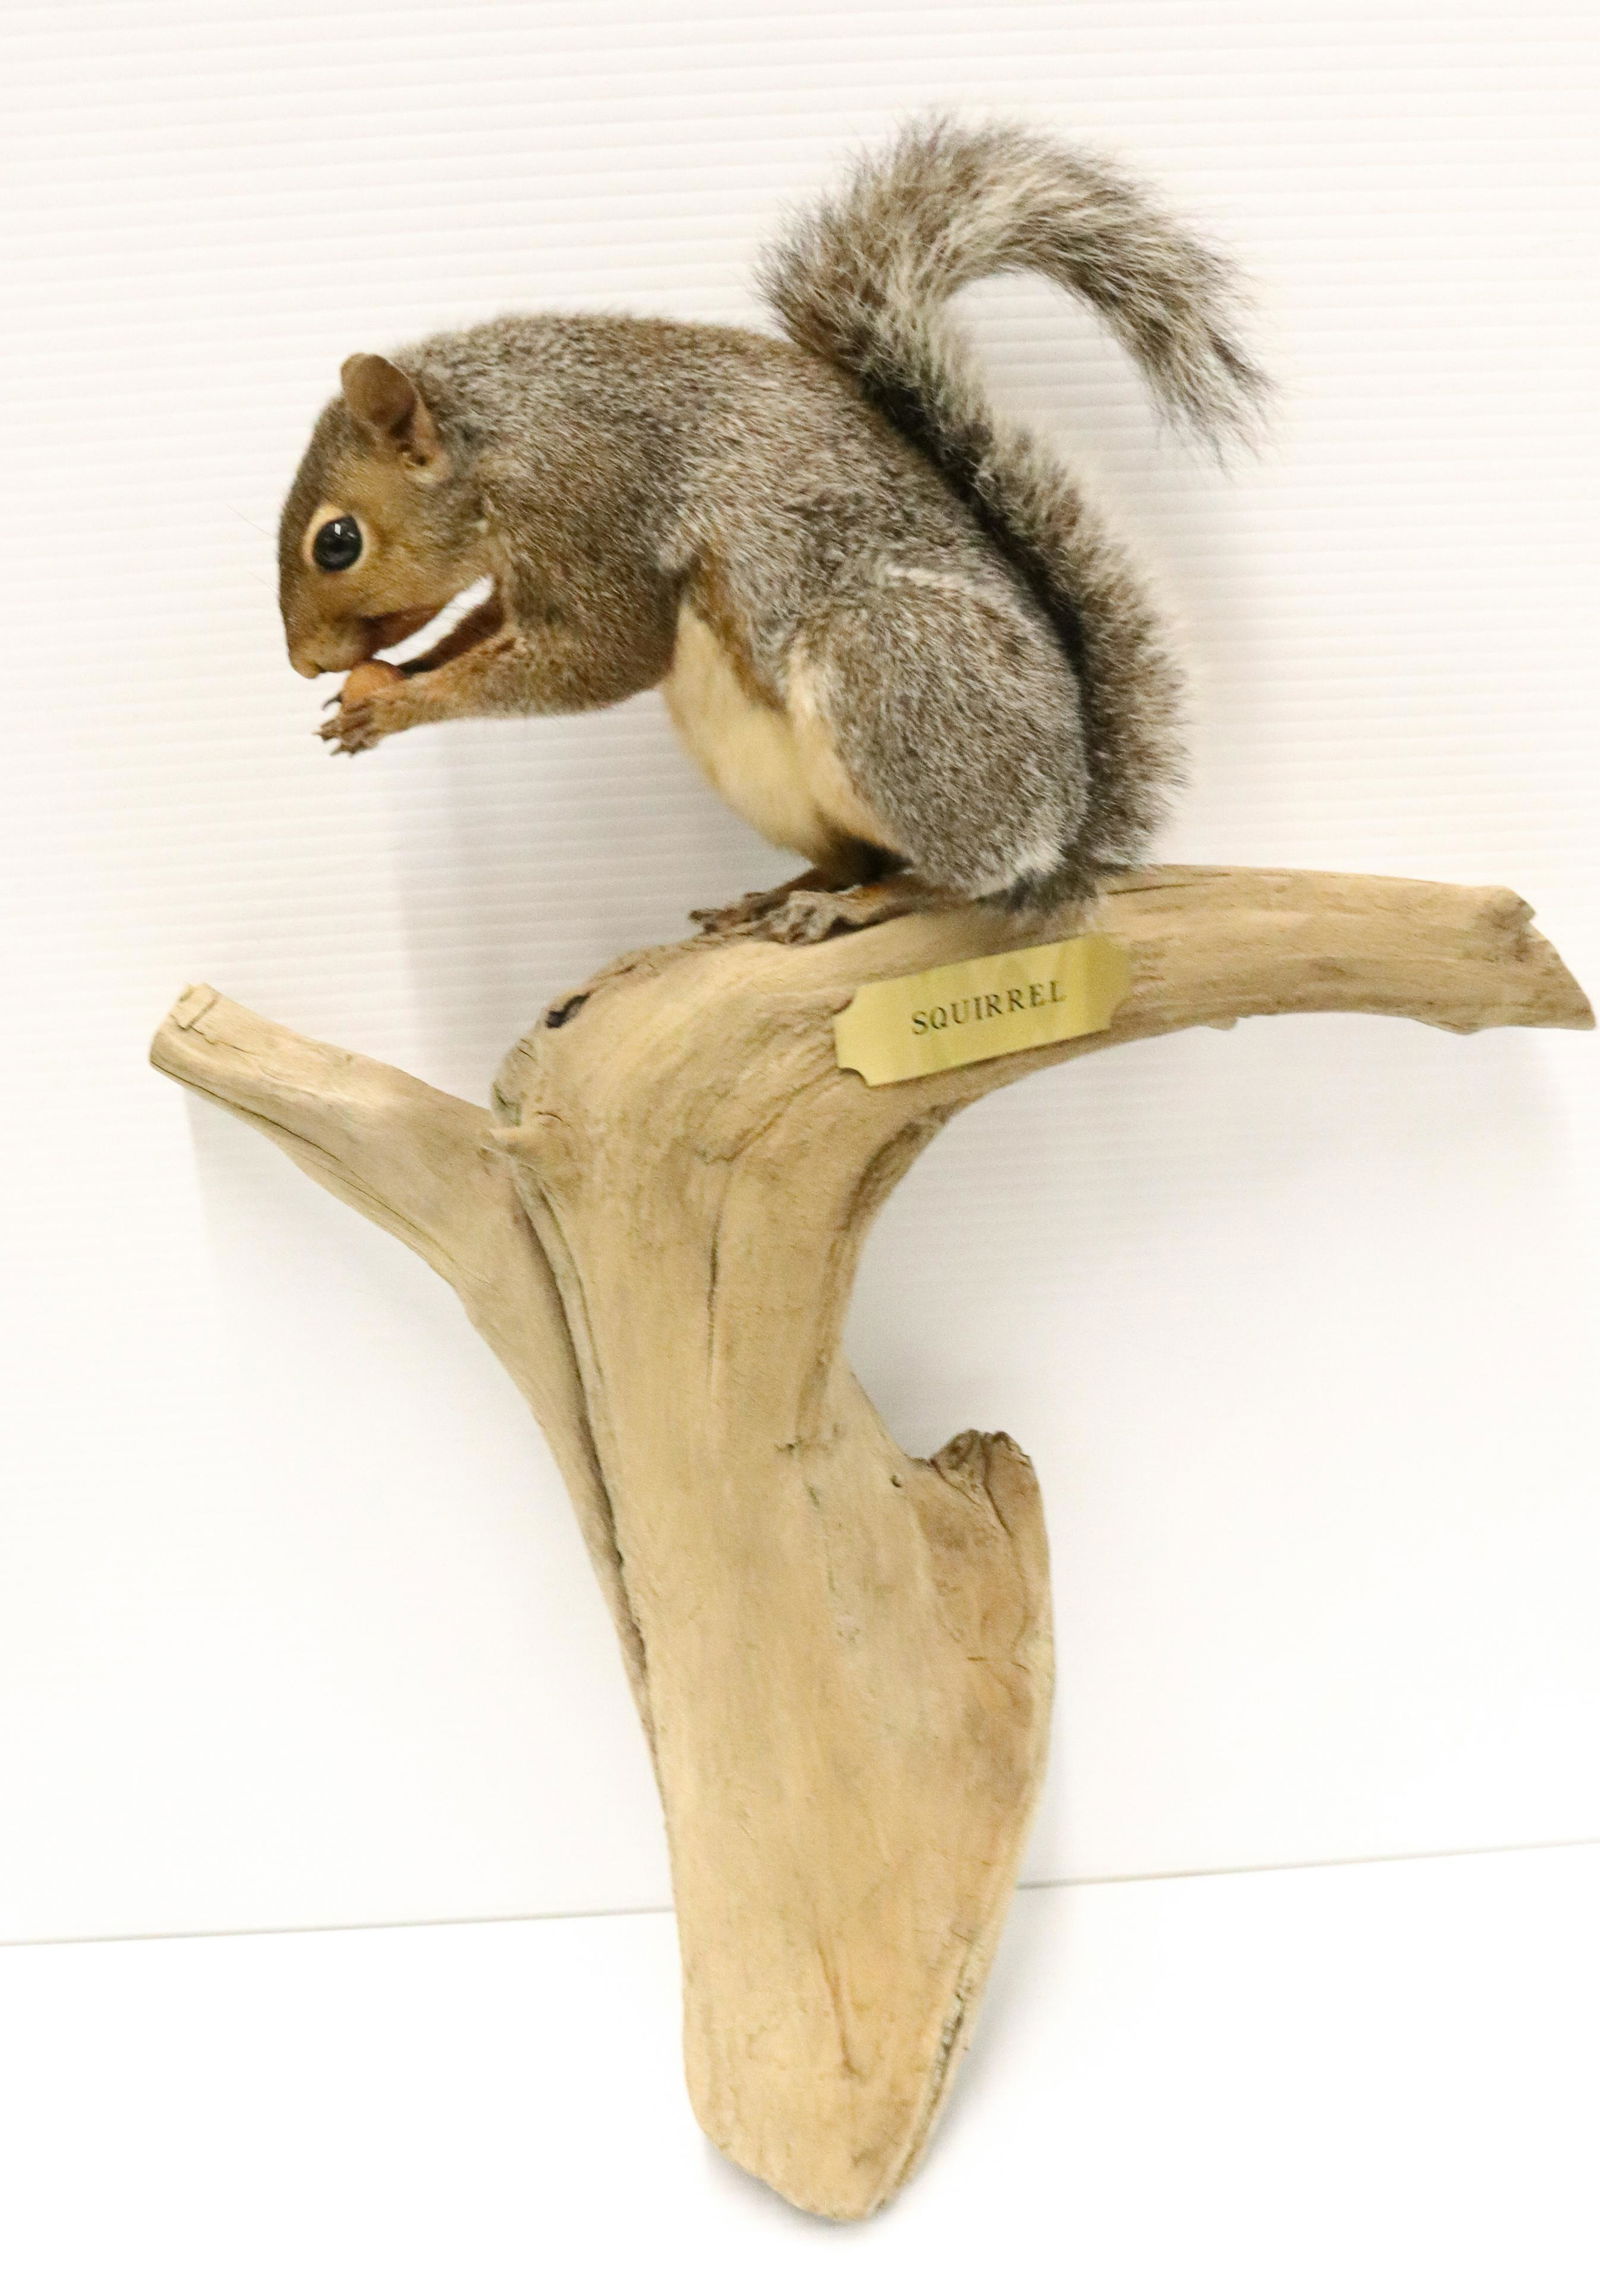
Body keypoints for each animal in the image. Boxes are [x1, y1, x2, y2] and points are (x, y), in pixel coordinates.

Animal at [278, 117, 1265, 942]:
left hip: (894, 671)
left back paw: (867, 904)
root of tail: (1065, 831)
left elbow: (603, 655)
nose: (305, 663)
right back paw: (779, 896)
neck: (503, 434)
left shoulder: (593, 510)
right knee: (854, 853)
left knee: (961, 877)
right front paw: (398, 678)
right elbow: (490, 628)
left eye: (338, 541)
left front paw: (400, 705)